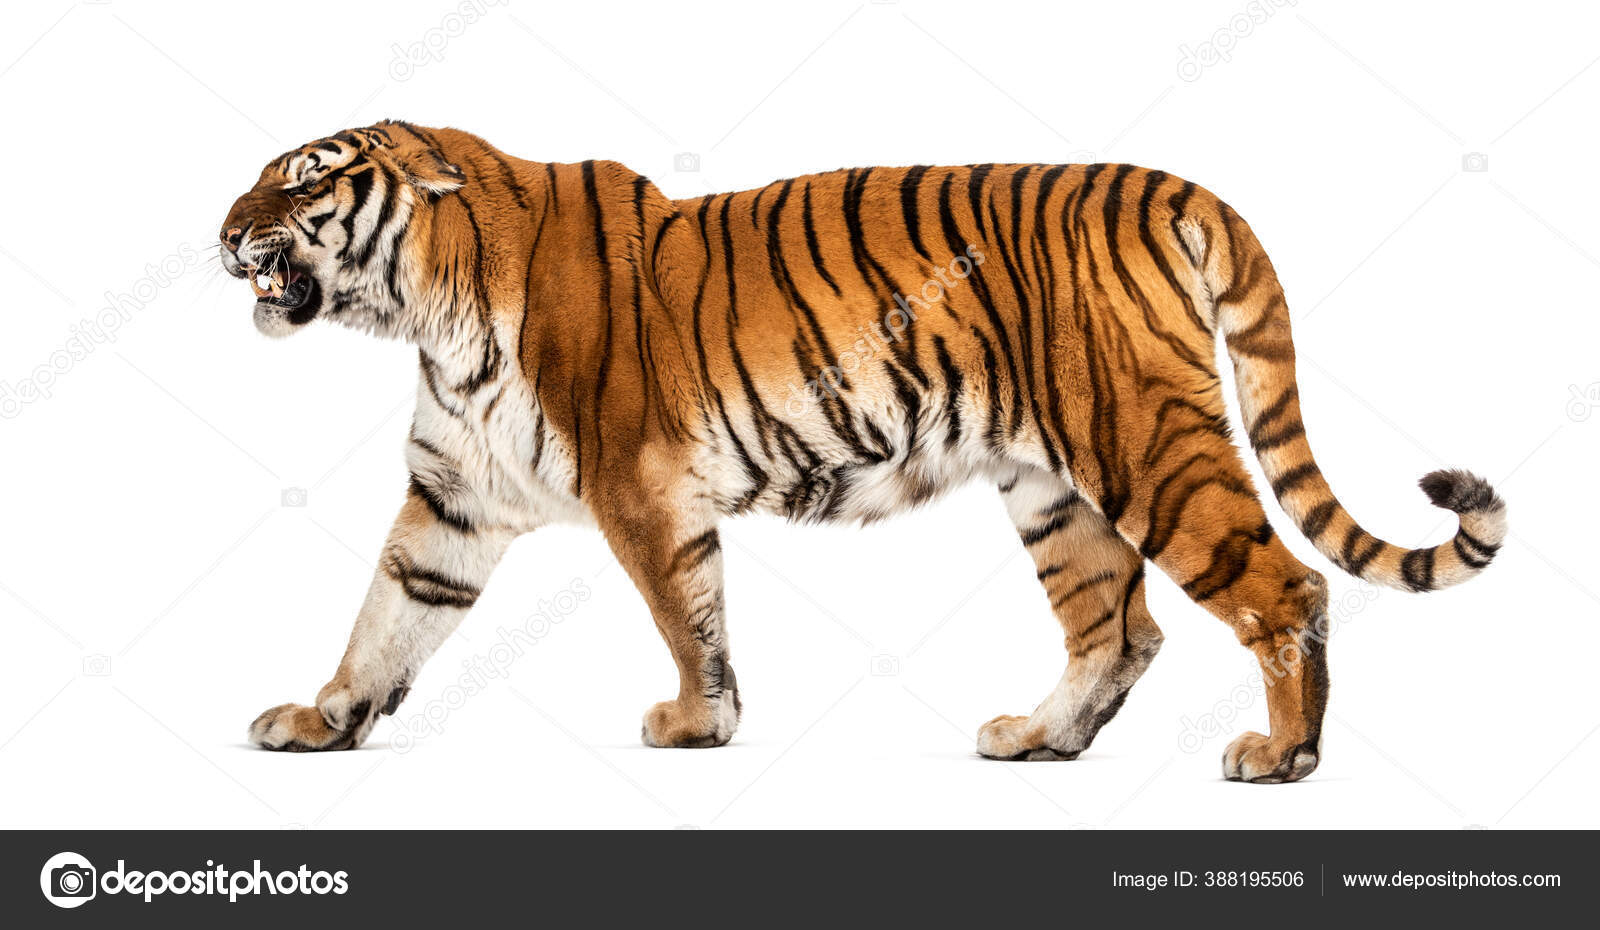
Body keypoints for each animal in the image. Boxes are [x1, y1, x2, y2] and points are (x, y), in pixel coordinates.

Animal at [222, 121, 1505, 783]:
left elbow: (686, 613)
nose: (225, 233)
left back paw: (1282, 755)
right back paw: (1039, 739)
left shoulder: (641, 486)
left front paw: (697, 726)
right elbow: (389, 611)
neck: (425, 312)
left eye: (307, 177)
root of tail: (1172, 185)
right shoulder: (453, 500)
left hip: (1148, 444)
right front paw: (323, 721)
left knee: (1283, 588)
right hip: (1054, 490)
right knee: (1119, 628)